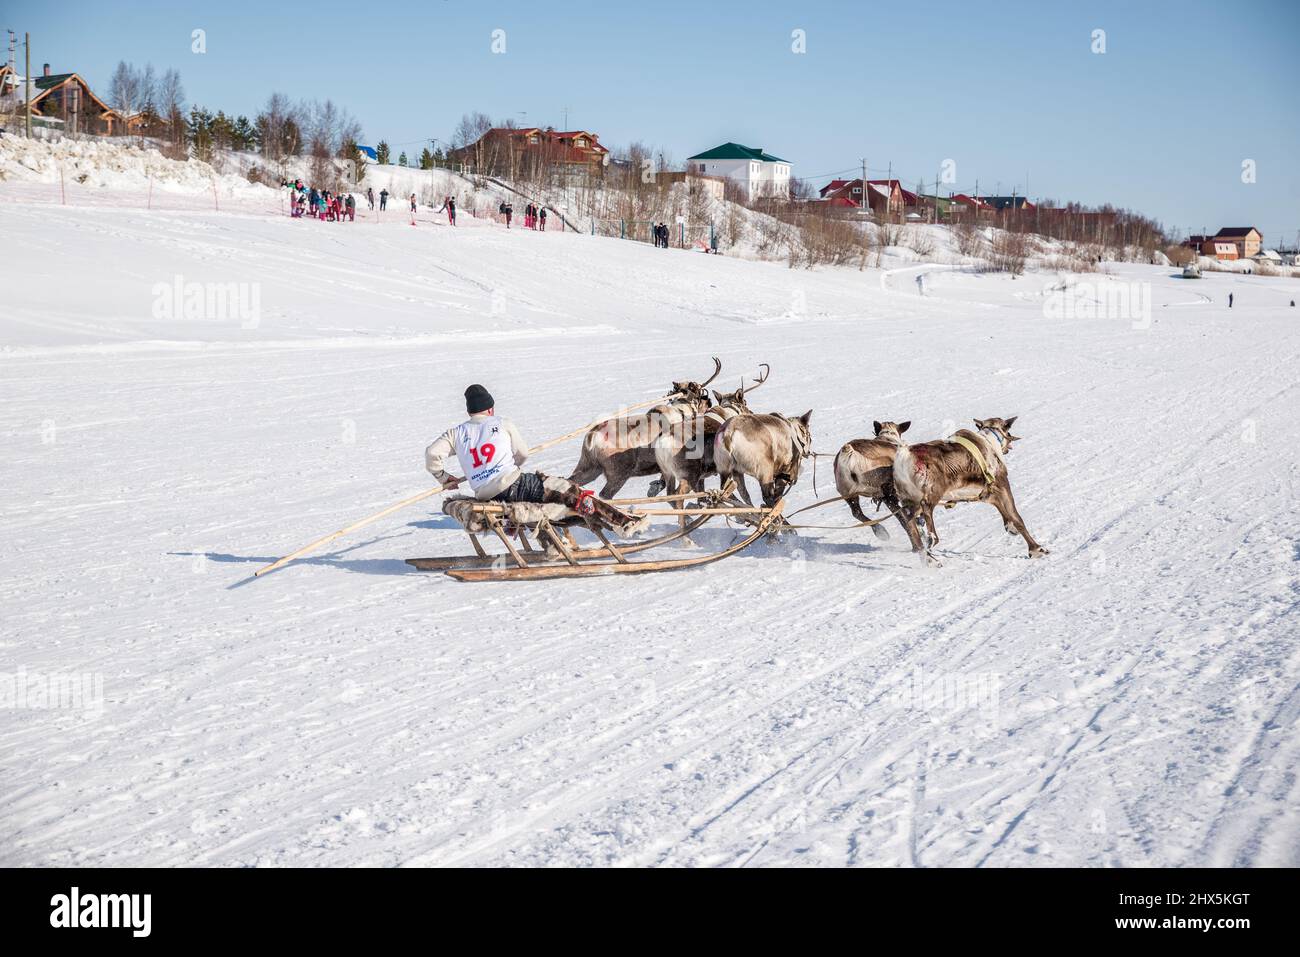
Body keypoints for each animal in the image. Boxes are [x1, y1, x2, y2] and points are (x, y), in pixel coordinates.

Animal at [567, 357, 721, 498]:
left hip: (589, 467)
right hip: (619, 472)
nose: (709, 402)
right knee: (605, 494)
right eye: (700, 392)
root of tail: (593, 437)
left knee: (571, 481)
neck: (682, 410)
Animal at [891, 416, 1048, 566]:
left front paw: (1010, 527)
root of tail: (905, 457)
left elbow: (1004, 511)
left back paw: (929, 557)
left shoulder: (986, 493)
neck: (990, 438)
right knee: (926, 507)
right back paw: (932, 538)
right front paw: (1036, 549)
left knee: (908, 520)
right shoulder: (1002, 483)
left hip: (907, 497)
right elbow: (1017, 518)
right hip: (933, 489)